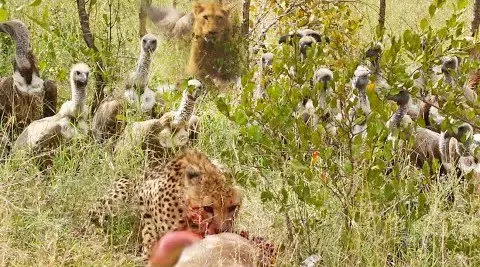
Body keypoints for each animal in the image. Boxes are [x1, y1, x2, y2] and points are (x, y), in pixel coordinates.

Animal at [88, 150, 242, 262]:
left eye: (232, 208)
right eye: (208, 208)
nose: (221, 230)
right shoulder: (143, 195)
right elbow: (149, 231)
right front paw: (146, 253)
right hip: (117, 198)